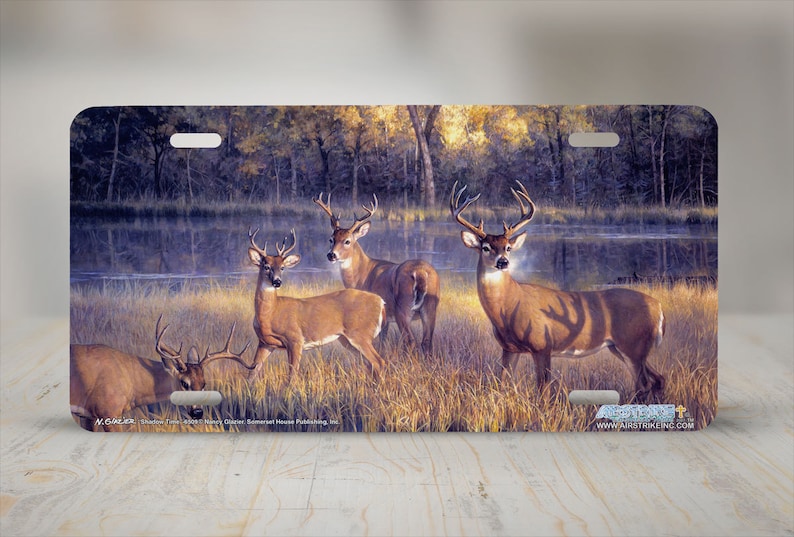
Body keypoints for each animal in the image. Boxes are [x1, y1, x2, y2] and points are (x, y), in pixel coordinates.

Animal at [246, 227, 387, 382]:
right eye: (266, 266)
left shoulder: (295, 339)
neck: (270, 314)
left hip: (360, 334)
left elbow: (292, 374)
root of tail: (381, 302)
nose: (277, 282)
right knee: (370, 364)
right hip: (347, 339)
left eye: (282, 268)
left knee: (379, 362)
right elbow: (252, 373)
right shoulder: (264, 343)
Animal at [313, 193, 440, 356]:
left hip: (403, 308)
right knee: (427, 342)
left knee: (410, 341)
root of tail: (420, 272)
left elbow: (379, 341)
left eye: (347, 241)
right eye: (331, 239)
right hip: (430, 307)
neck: (362, 276)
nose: (331, 255)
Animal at [450, 181, 666, 402]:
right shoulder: (509, 348)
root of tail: (659, 307)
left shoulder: (542, 345)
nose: (503, 262)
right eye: (485, 247)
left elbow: (543, 390)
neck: (507, 309)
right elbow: (501, 383)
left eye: (508, 247)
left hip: (633, 345)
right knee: (658, 379)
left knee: (645, 383)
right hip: (623, 348)